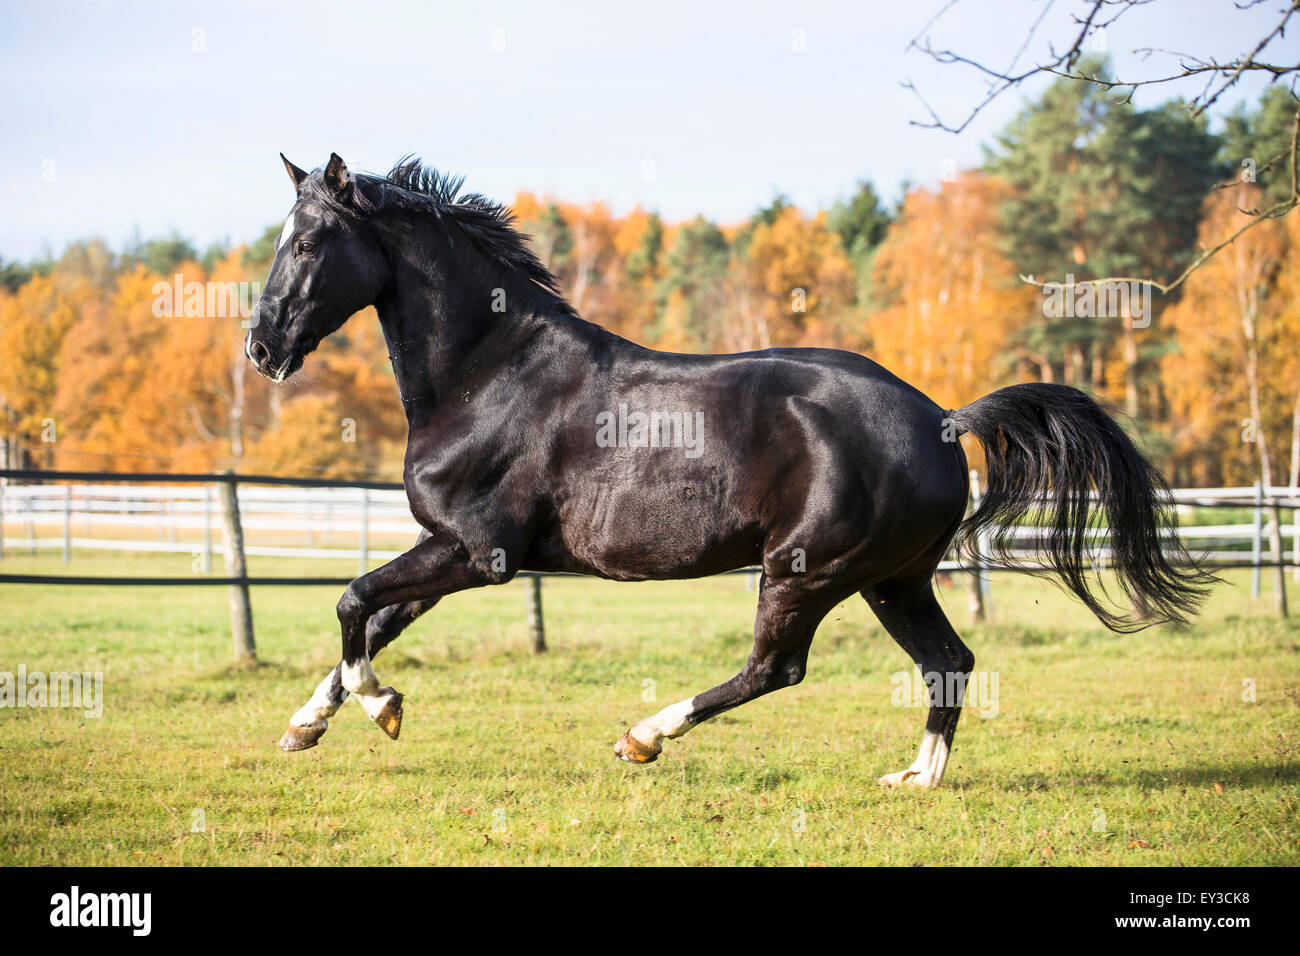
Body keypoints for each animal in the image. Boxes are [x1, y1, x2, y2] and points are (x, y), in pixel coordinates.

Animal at [246, 152, 1211, 787]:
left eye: (310, 242)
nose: (261, 349)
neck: (490, 373)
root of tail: (942, 419)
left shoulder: (480, 554)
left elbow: (353, 604)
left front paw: (382, 708)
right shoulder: (448, 548)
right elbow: (372, 621)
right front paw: (304, 727)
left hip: (807, 570)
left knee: (777, 669)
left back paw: (644, 736)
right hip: (892, 578)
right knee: (950, 659)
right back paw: (917, 778)